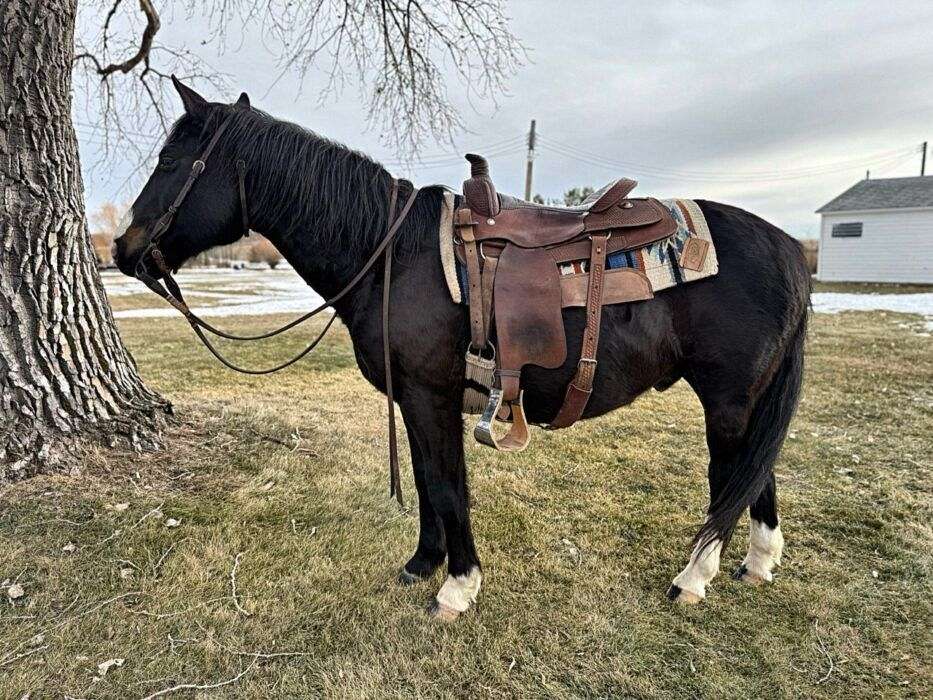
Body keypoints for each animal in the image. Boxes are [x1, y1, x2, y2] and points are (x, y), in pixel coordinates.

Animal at [112, 77, 810, 621]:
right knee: (755, 475)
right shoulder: (415, 399)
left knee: (731, 477)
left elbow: (449, 485)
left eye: (171, 163)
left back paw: (693, 579)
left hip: (726, 399)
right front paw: (423, 562)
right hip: (743, 402)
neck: (393, 254)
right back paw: (757, 565)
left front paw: (457, 587)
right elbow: (426, 479)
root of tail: (789, 249)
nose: (123, 249)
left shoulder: (432, 395)